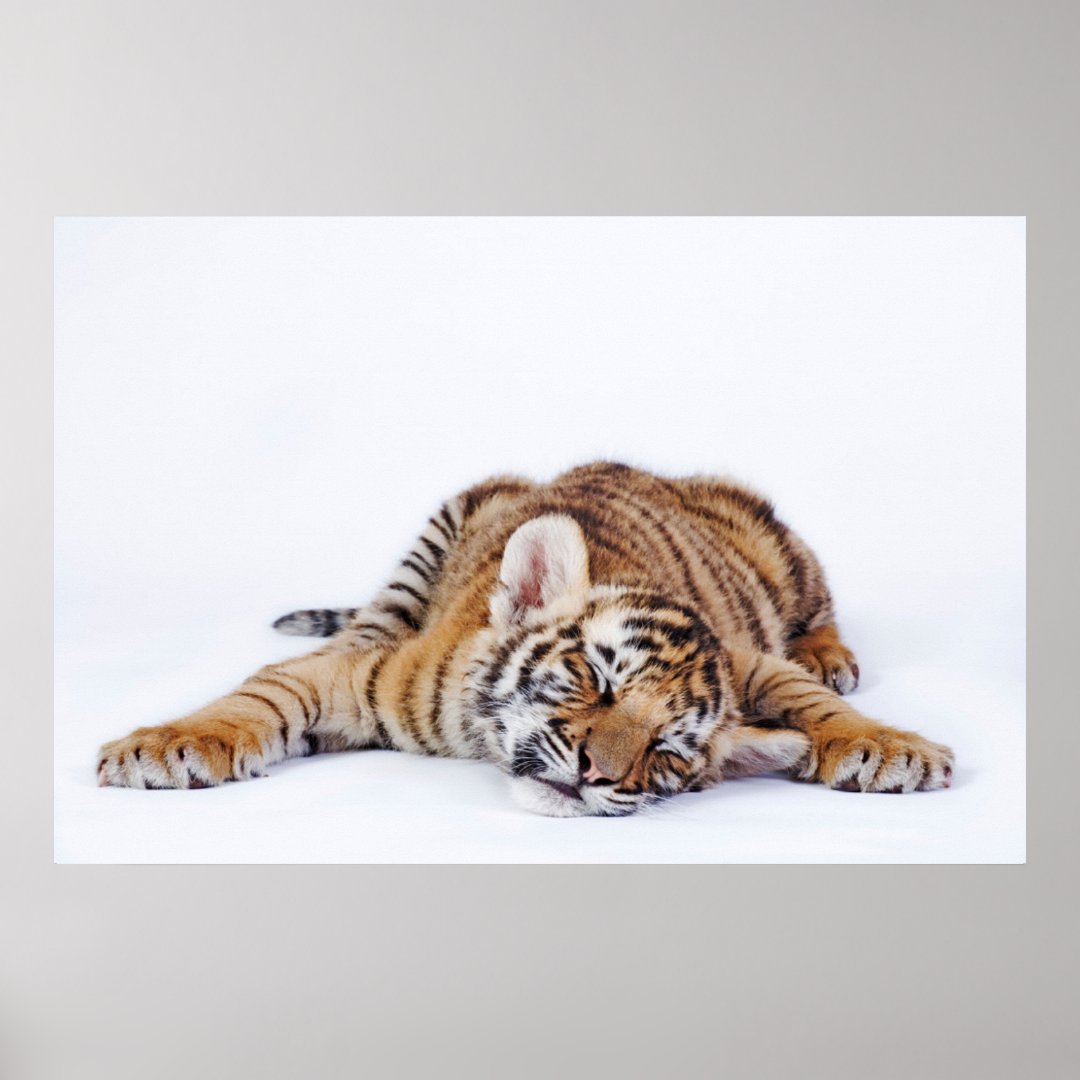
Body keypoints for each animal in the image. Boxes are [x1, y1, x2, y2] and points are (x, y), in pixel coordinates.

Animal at [96, 461, 954, 817]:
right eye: (594, 679)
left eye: (667, 749)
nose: (592, 773)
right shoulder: (358, 681)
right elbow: (263, 693)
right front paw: (169, 747)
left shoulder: (749, 662)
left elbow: (805, 697)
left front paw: (892, 747)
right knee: (364, 624)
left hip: (781, 555)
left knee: (818, 613)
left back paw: (830, 654)